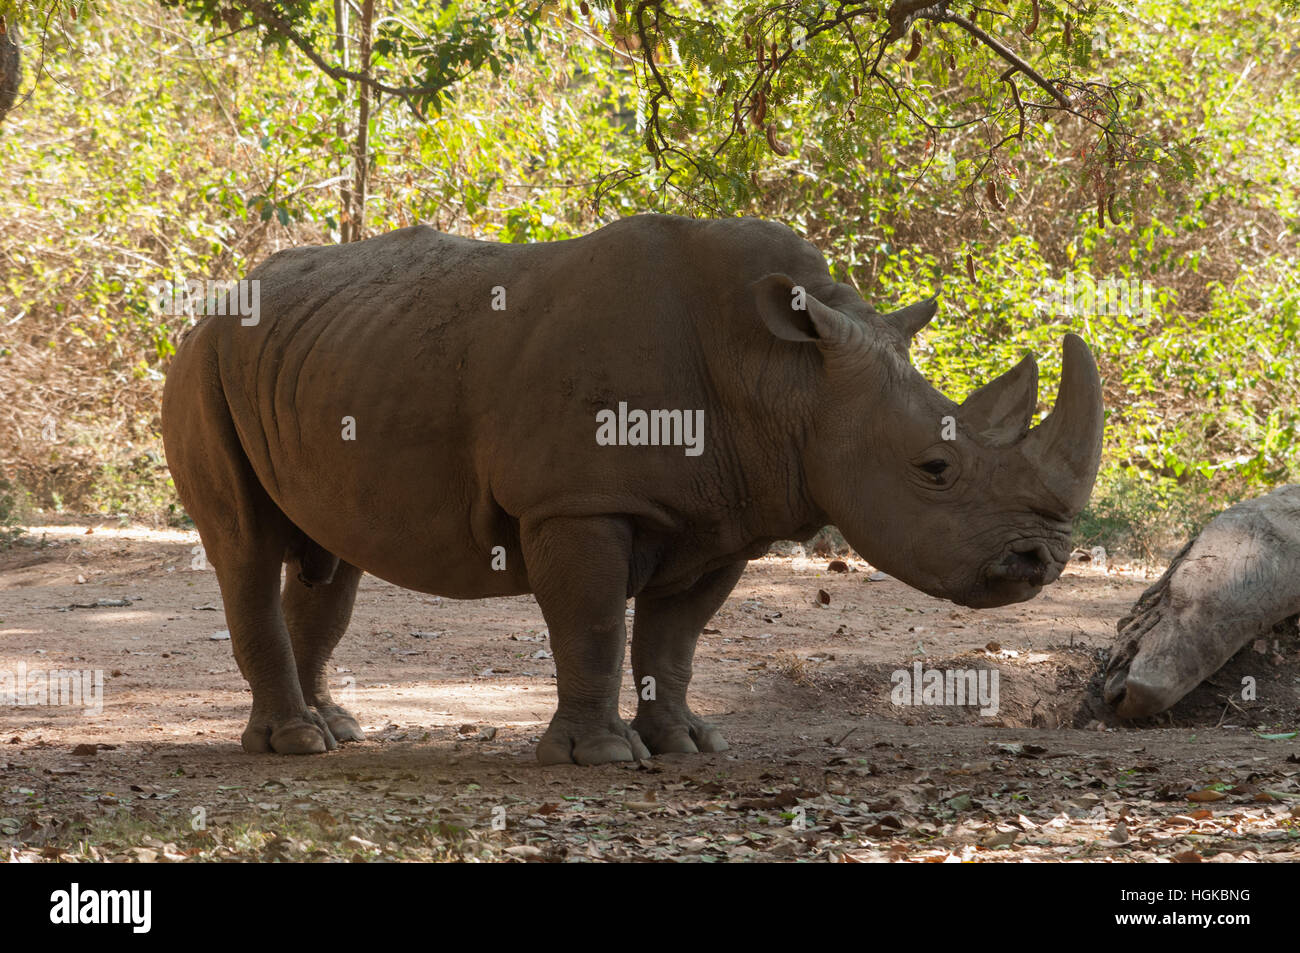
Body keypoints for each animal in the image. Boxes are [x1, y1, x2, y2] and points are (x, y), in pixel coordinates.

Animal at [162, 214, 1103, 764]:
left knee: (331, 559)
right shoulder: (576, 502)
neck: (789, 378)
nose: (1043, 561)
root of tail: (220, 298)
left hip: (326, 354)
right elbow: (592, 625)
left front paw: (686, 744)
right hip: (200, 360)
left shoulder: (726, 513)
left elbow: (673, 638)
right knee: (245, 547)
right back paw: (293, 744)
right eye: (933, 469)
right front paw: (599, 758)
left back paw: (338, 728)